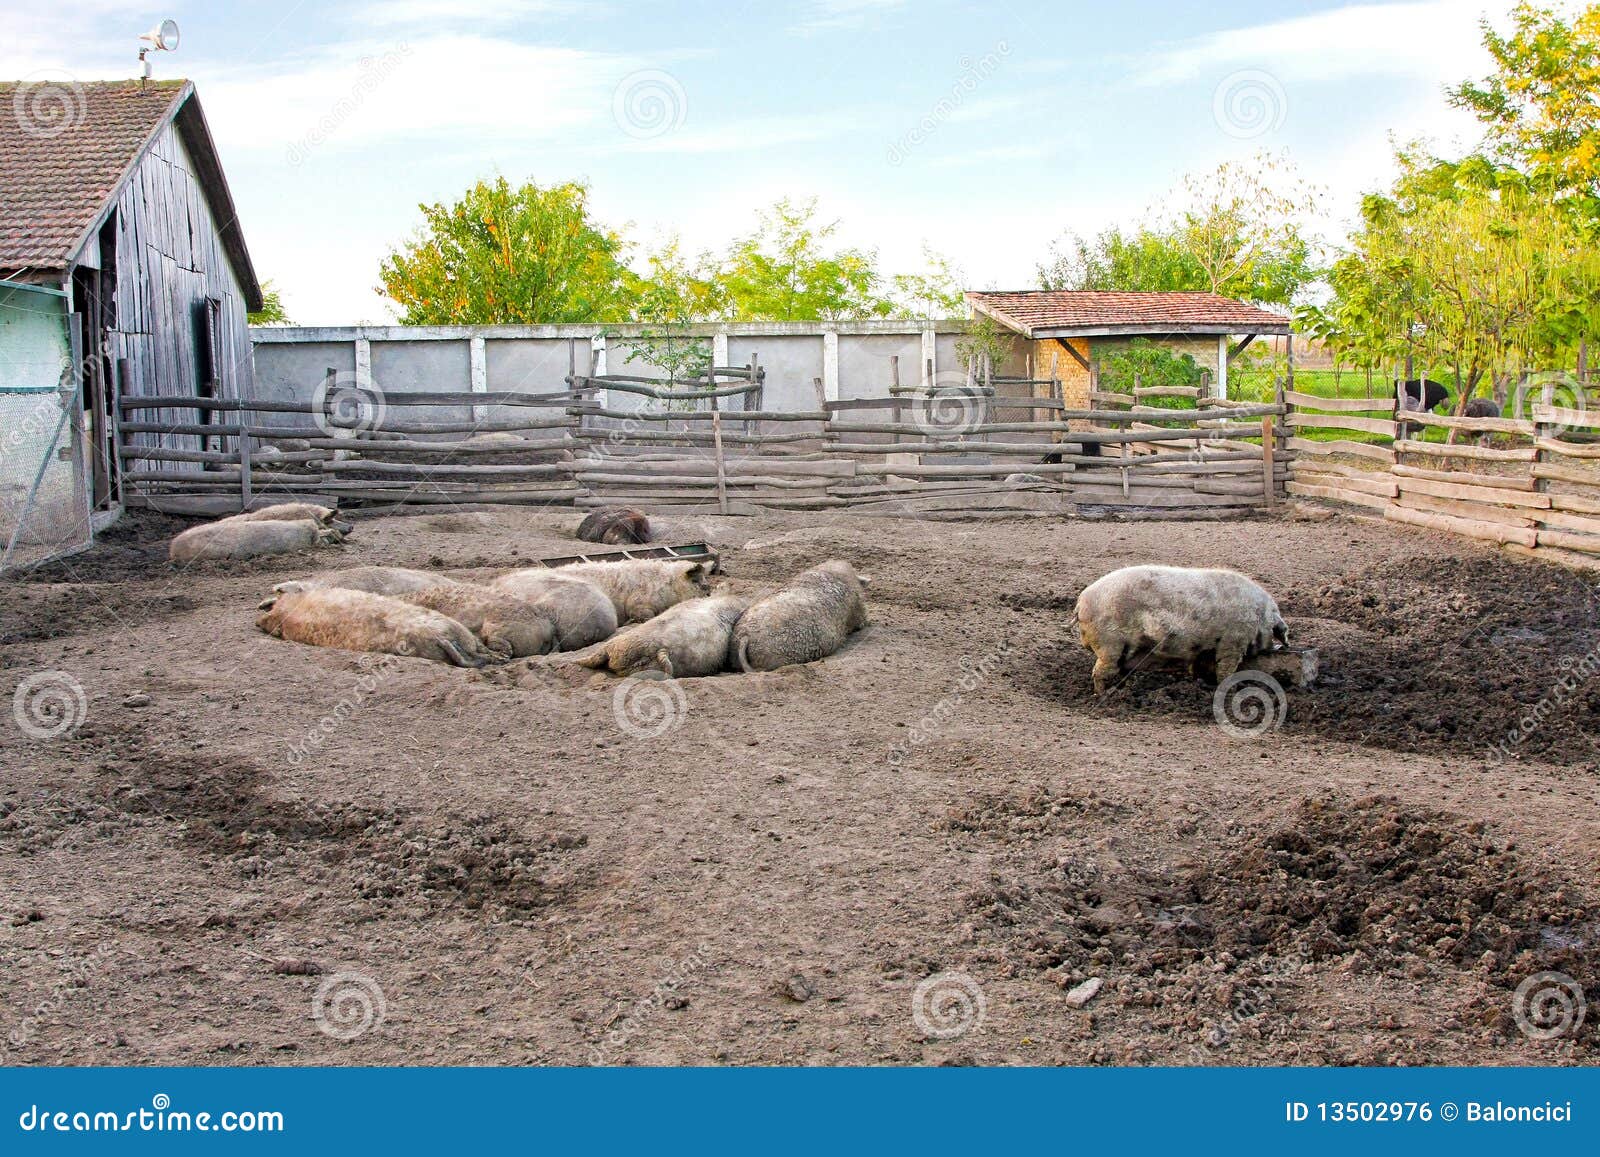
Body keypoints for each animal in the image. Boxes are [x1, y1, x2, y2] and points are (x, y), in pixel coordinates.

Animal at [1074, 565, 1287, 695]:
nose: (1277, 648)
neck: (1261, 616)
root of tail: (1081, 602)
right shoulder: (1233, 642)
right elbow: (1226, 669)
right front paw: (1230, 688)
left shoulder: (1206, 649)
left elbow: (1200, 667)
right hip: (1109, 644)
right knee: (1100, 671)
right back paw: (1104, 695)